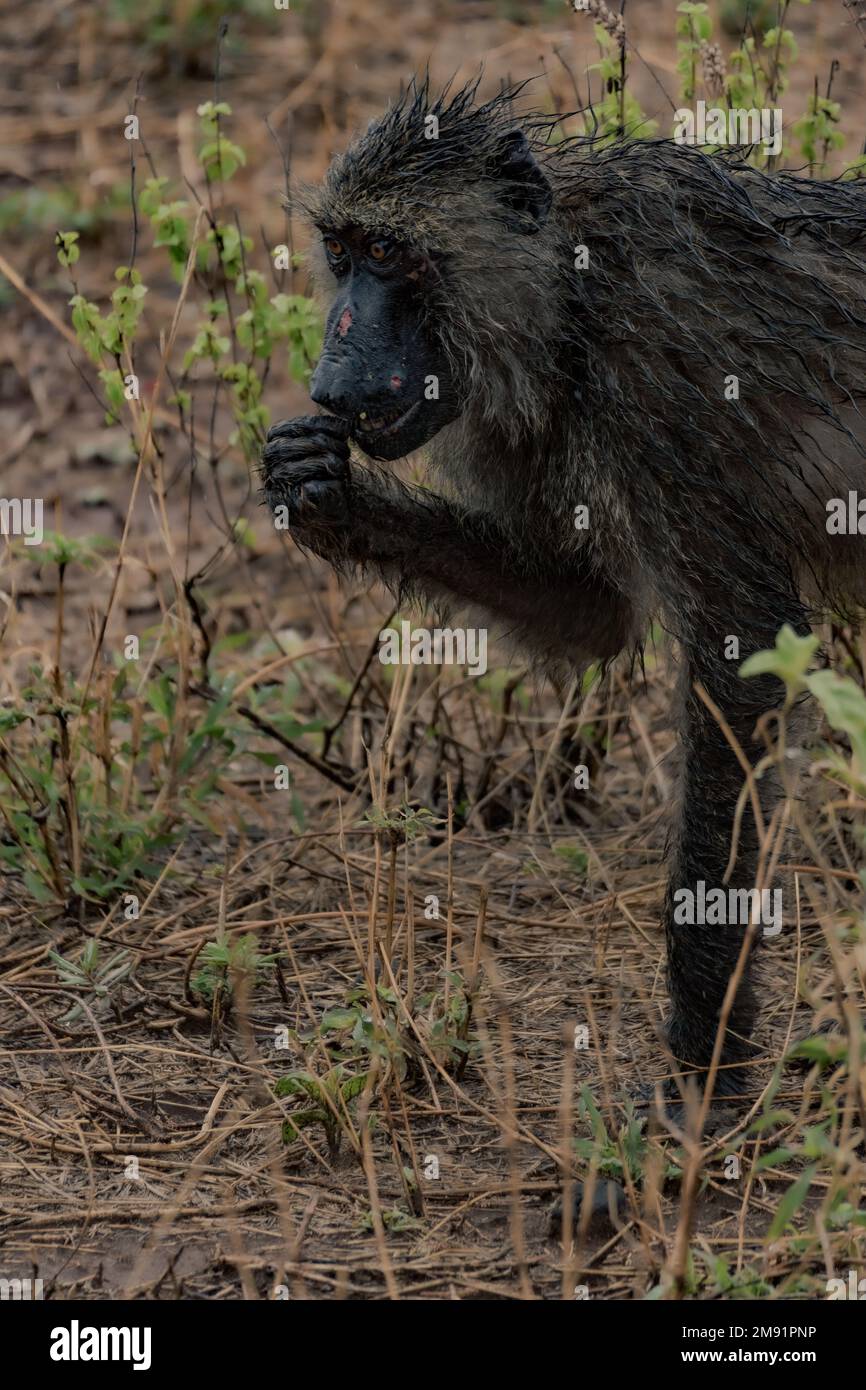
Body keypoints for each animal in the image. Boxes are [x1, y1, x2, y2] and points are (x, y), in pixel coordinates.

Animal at [261, 78, 866, 1099]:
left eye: (389, 253)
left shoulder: (664, 374)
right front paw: (320, 487)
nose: (331, 380)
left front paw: (701, 1068)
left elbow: (743, 648)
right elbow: (590, 614)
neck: (569, 288)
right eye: (341, 253)